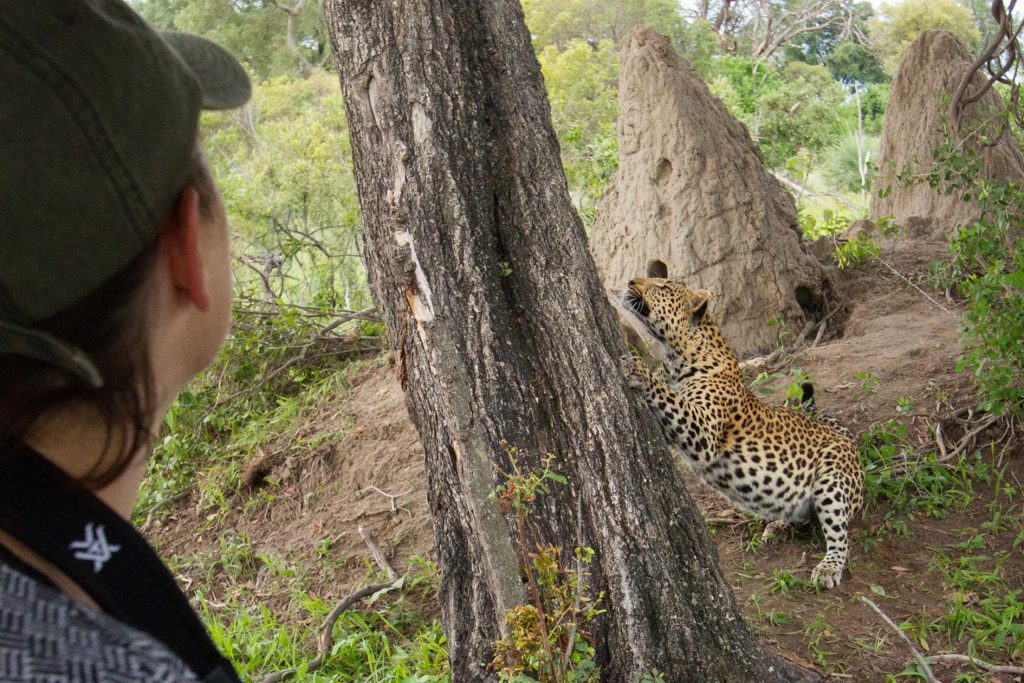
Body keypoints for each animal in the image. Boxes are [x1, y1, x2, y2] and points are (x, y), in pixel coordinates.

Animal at [618, 277, 864, 589]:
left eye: (663, 287)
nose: (630, 280)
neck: (678, 355)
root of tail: (848, 440)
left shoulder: (702, 431)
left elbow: (670, 397)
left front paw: (637, 369)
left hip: (833, 480)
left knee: (840, 536)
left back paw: (828, 568)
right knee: (804, 515)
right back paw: (778, 526)